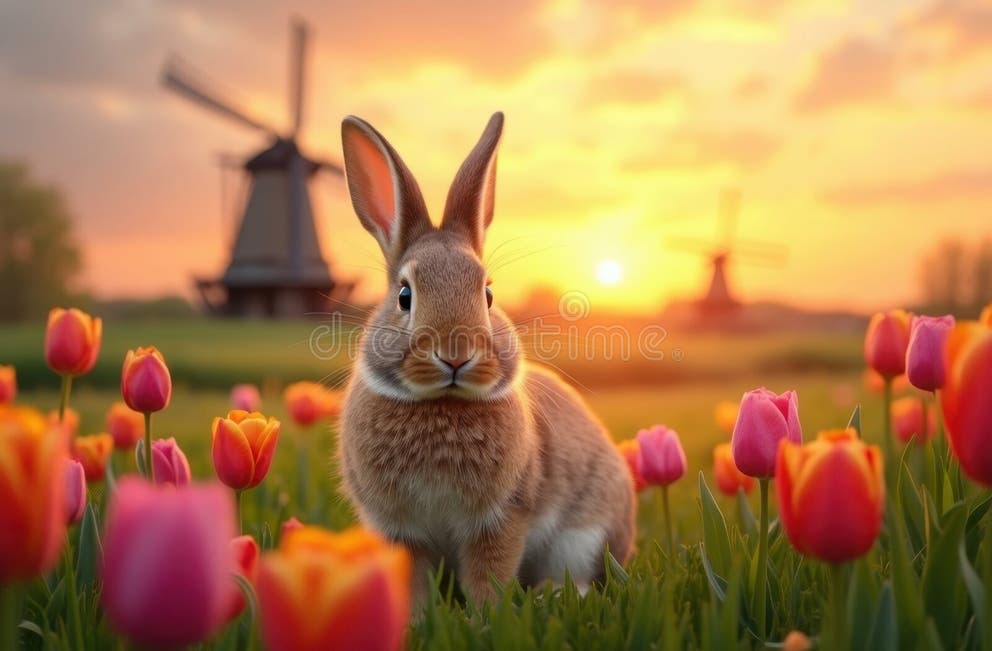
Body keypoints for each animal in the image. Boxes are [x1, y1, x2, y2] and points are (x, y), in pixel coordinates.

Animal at [336, 111, 636, 606]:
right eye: (404, 295)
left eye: (488, 294)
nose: (456, 355)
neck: (441, 404)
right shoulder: (401, 531)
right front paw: (416, 617)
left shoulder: (500, 518)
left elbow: (487, 575)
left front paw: (484, 616)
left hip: (585, 536)